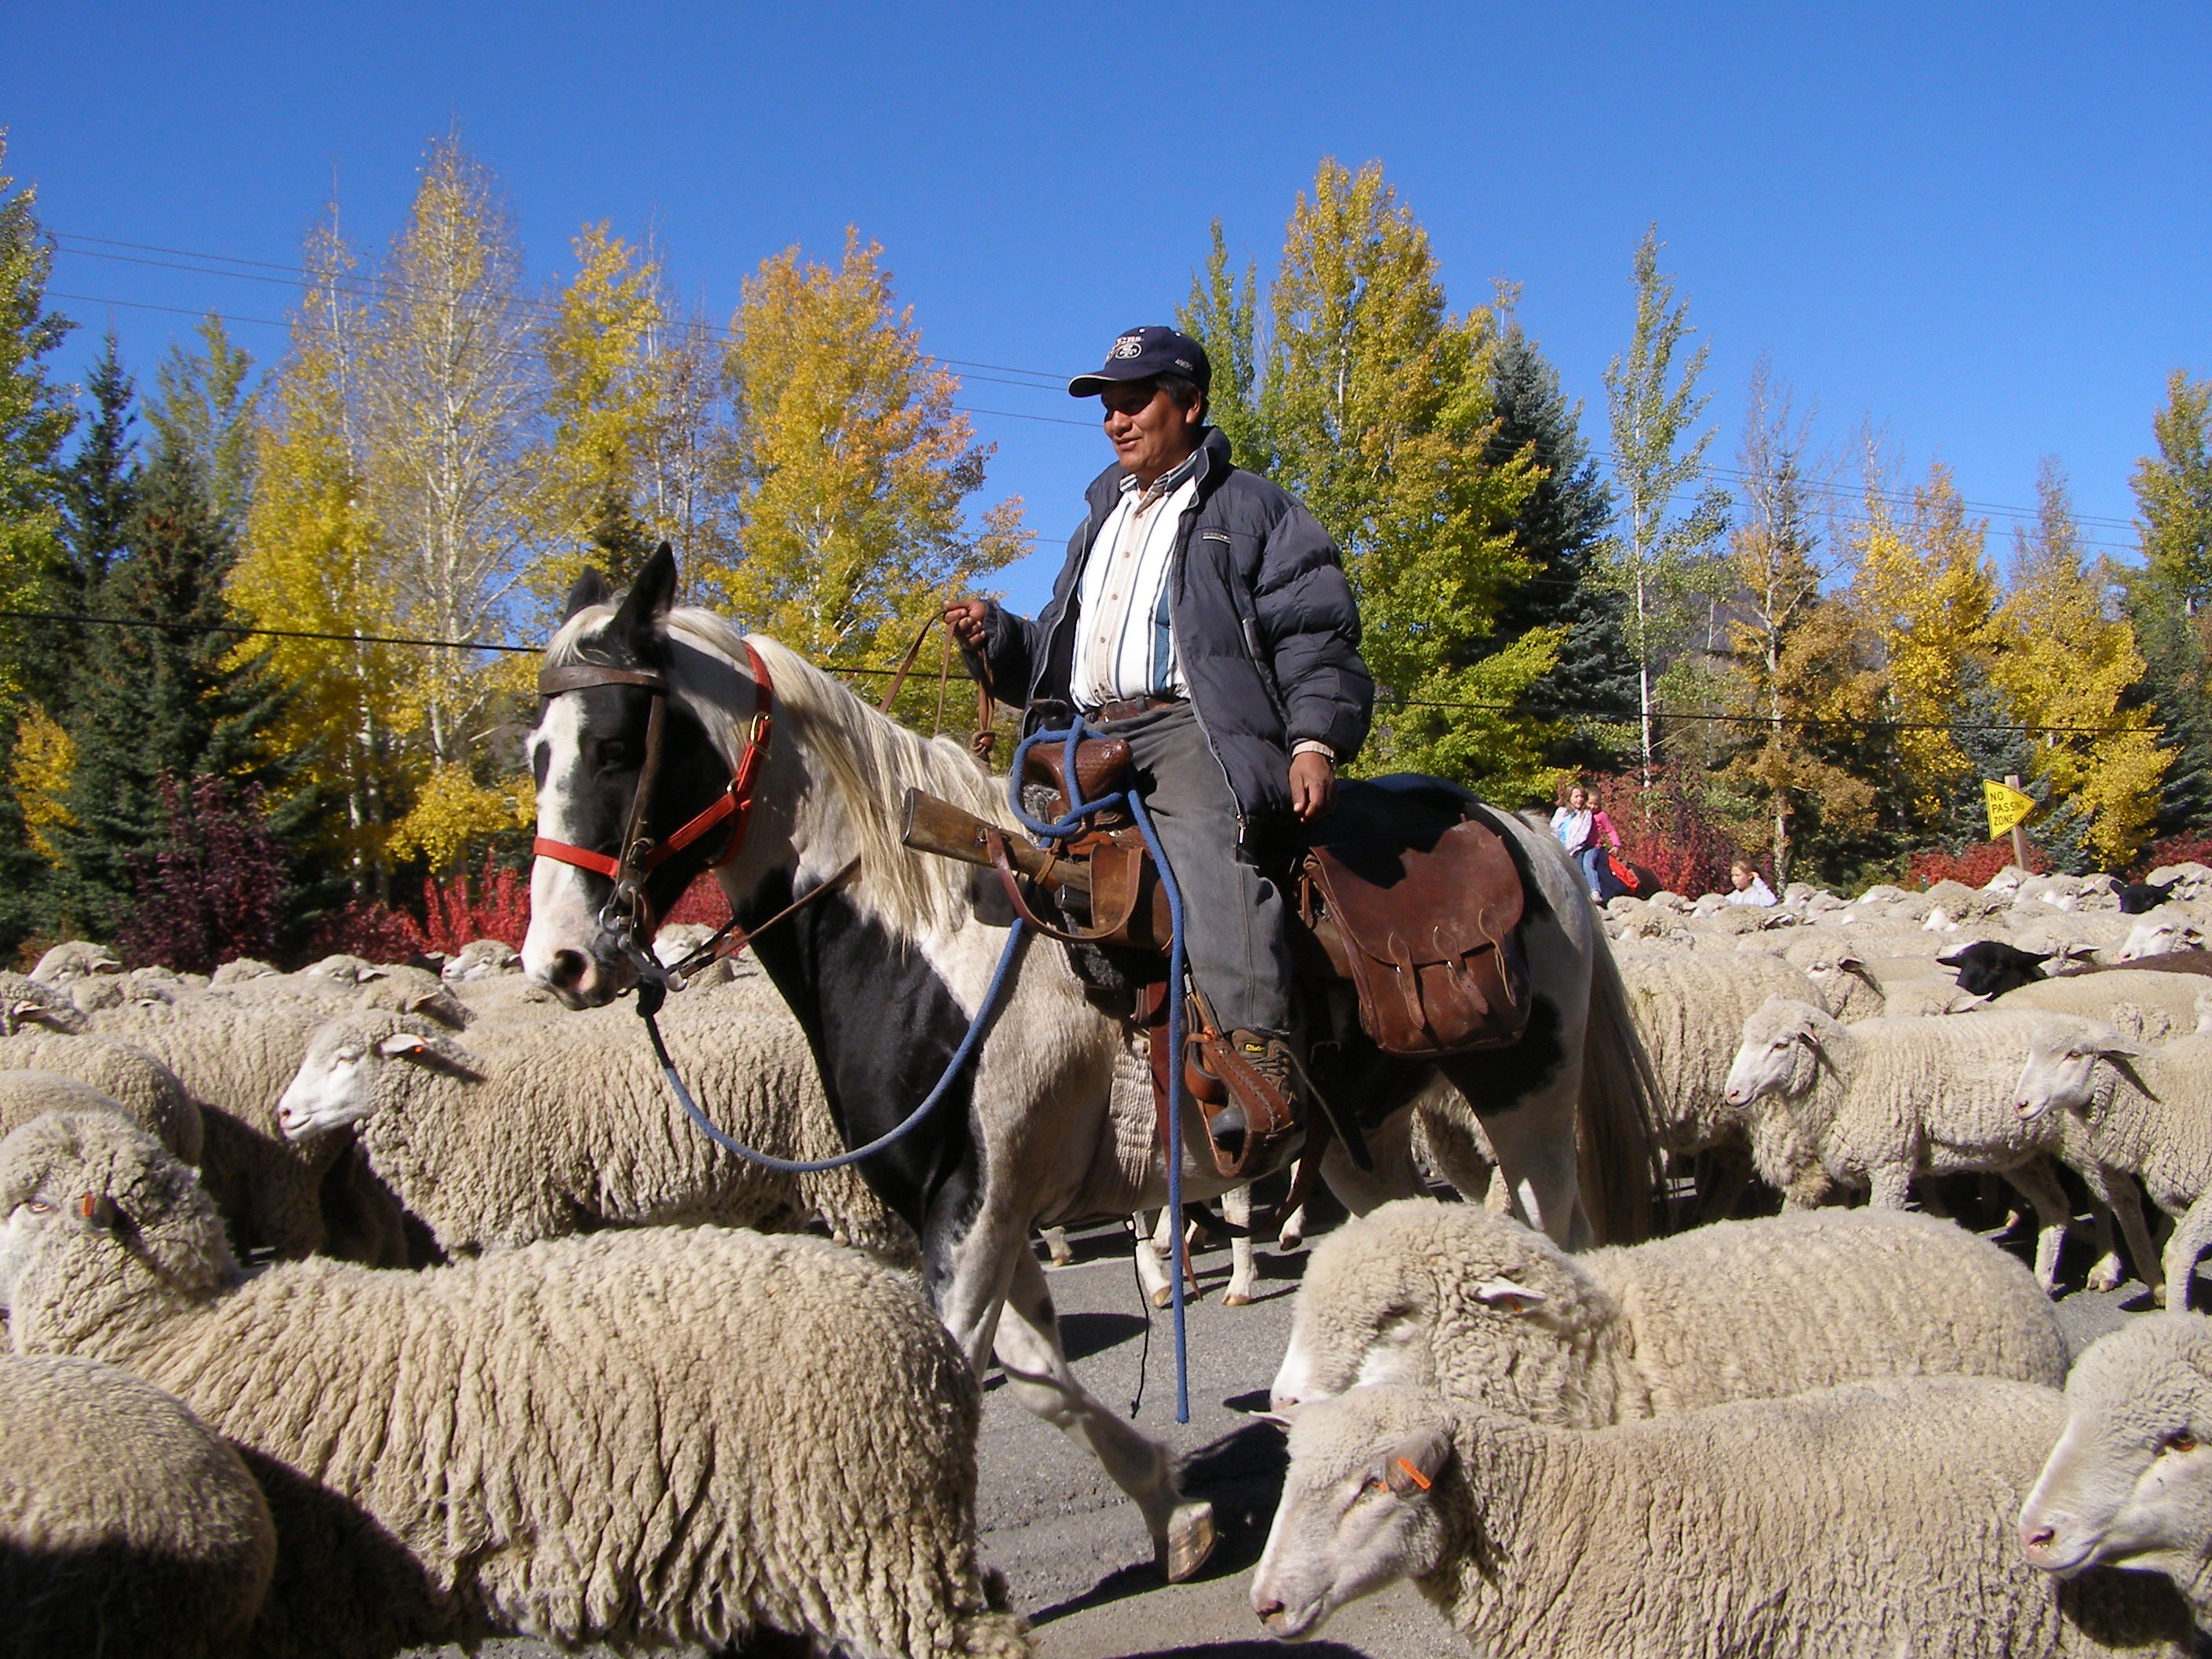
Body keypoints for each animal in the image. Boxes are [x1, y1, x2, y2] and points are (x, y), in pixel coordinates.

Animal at [1721, 997, 2149, 1290]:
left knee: (2121, 1198)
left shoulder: (1891, 1163)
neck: (1853, 1072)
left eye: (1781, 1045)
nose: (1732, 1093)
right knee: (2057, 1207)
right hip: (2020, 1153)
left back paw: (2135, 1275)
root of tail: (2098, 1030)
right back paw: (2044, 1279)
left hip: (2084, 1142)